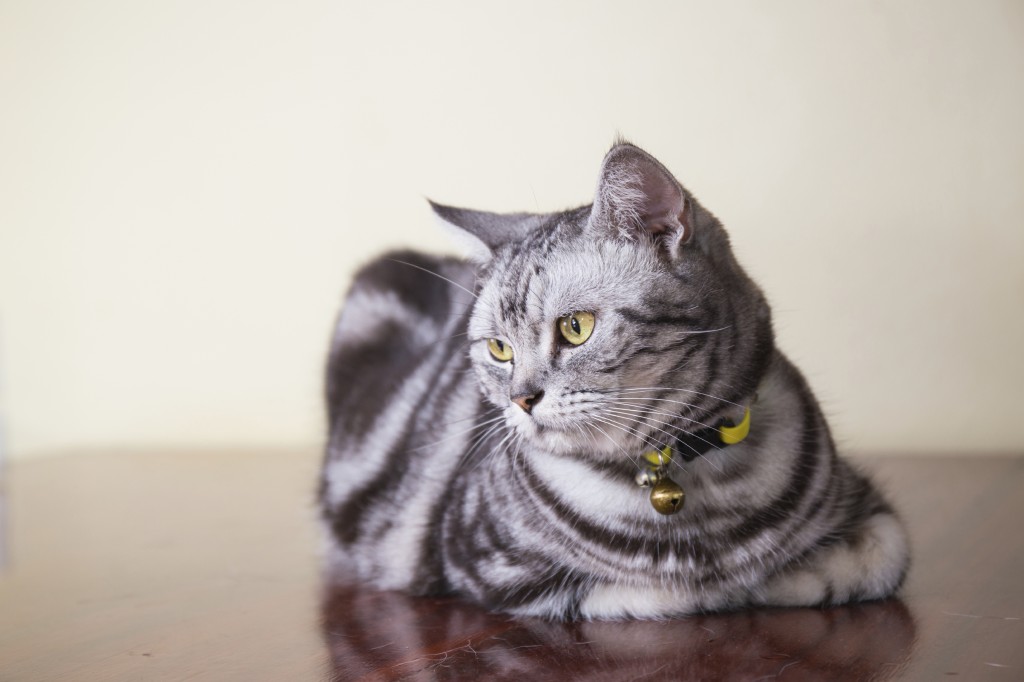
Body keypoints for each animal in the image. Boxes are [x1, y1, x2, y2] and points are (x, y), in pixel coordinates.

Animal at [315, 140, 909, 618]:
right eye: (499, 349)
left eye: (575, 328)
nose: (521, 399)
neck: (687, 473)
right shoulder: (487, 564)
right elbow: (660, 590)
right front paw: (734, 584)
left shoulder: (874, 513)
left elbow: (877, 557)